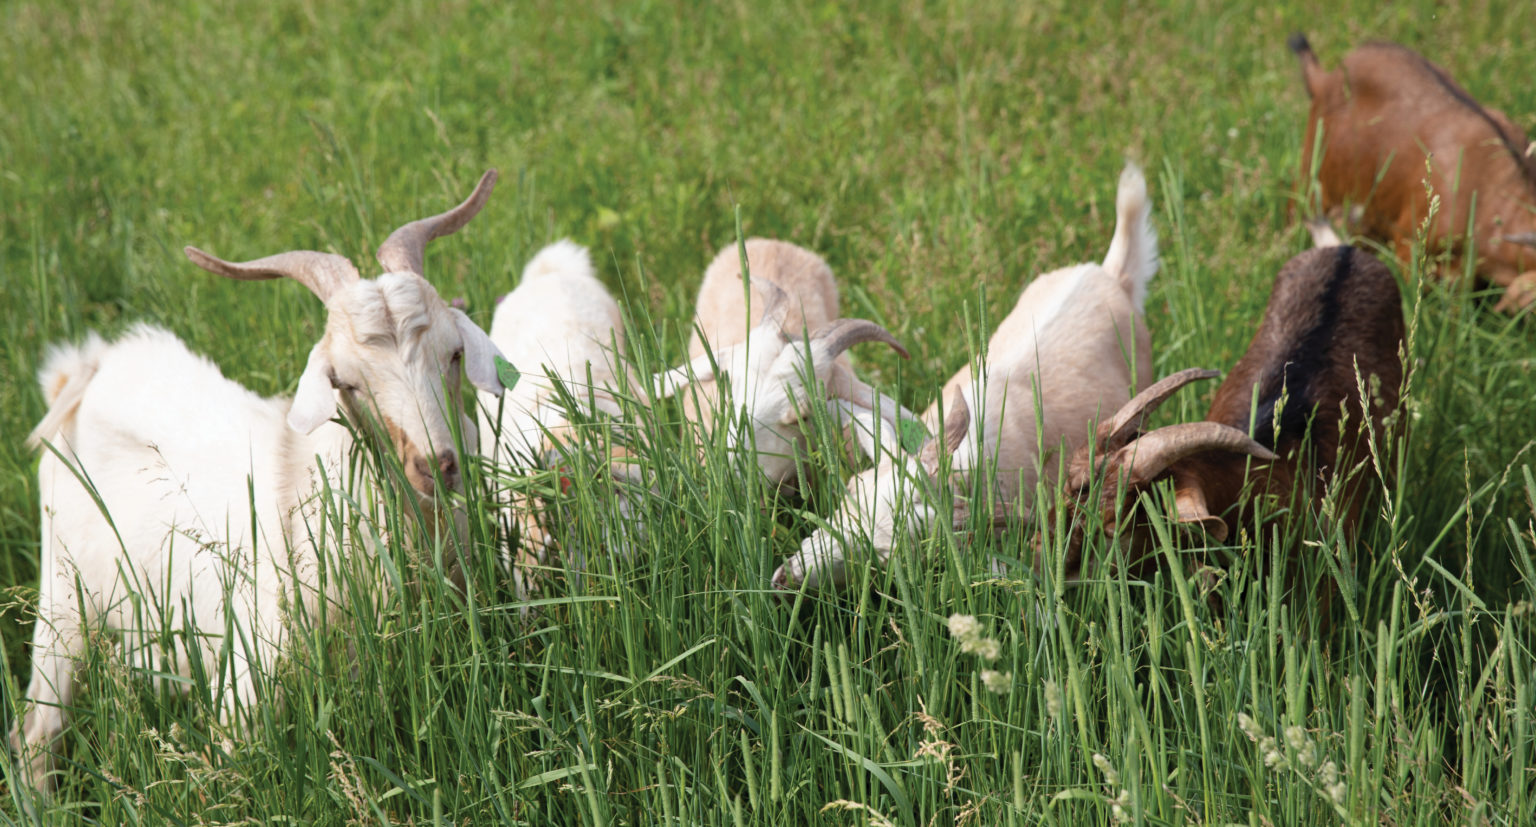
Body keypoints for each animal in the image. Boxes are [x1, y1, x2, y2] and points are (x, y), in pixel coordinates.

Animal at [10, 172, 505, 792]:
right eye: (346, 381)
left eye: (455, 353)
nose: (434, 465)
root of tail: (83, 371)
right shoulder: (245, 694)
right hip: (63, 600)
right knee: (38, 733)